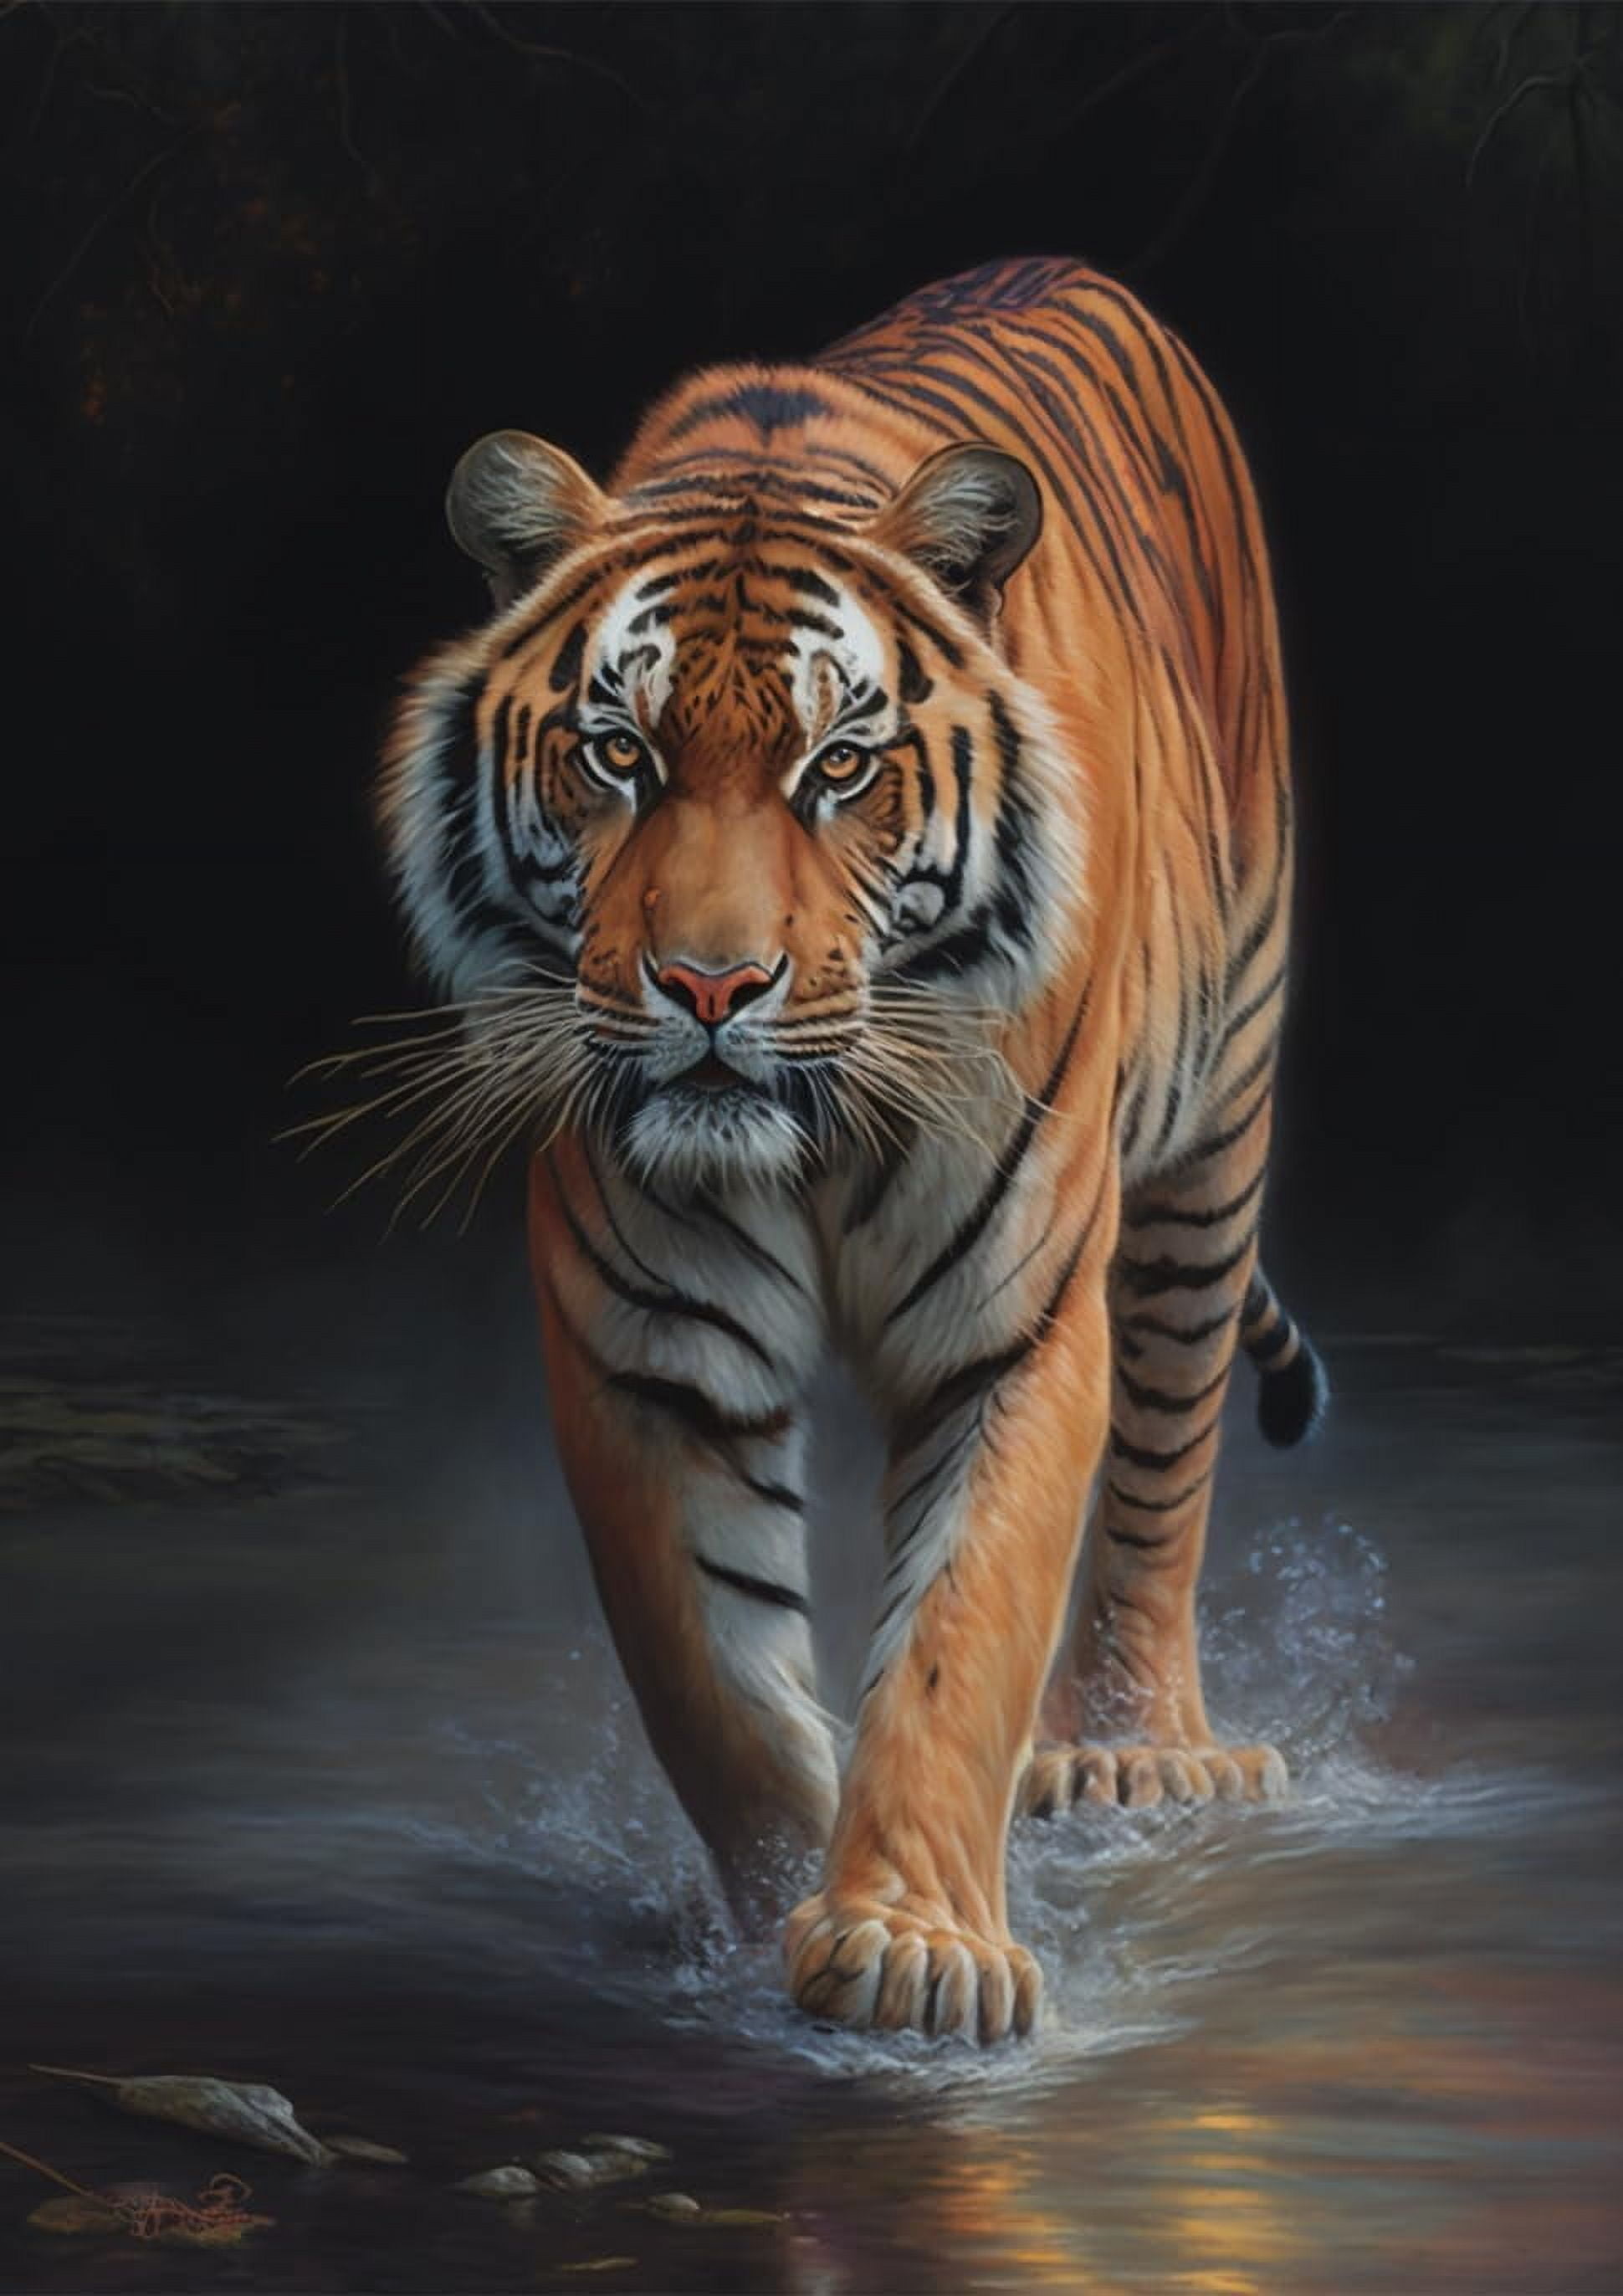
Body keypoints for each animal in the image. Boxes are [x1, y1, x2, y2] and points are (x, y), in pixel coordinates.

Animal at [376, 255, 1328, 2046]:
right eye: (620, 754)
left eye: (841, 767)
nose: (708, 986)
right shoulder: (650, 1337)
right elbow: (715, 1677)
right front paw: (780, 1908)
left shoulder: (1013, 1316)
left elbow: (962, 1627)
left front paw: (911, 1946)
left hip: (1215, 1115)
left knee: (1166, 1452)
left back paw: (1132, 1748)